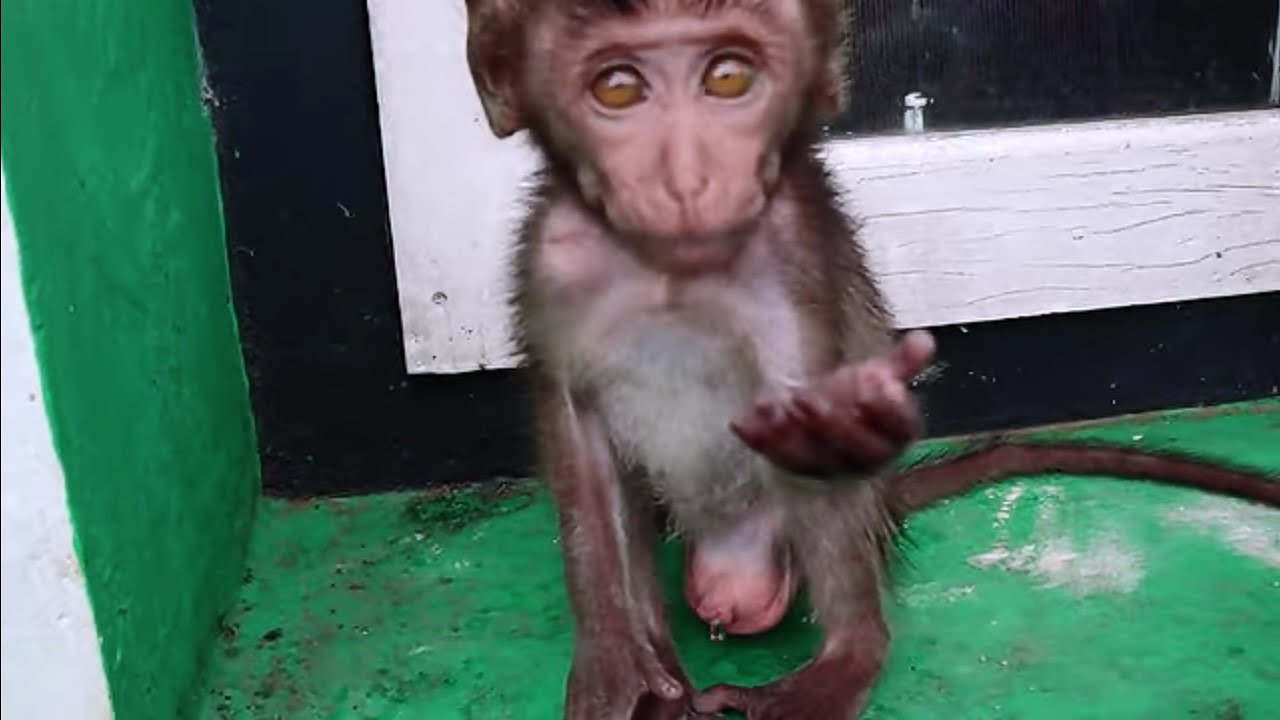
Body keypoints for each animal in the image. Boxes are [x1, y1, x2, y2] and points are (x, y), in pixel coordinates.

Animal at [460, 2, 1280, 718]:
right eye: (618, 88)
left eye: (728, 78)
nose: (687, 181)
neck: (671, 272)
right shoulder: (548, 265)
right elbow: (580, 441)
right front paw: (615, 659)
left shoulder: (793, 256)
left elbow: (816, 416)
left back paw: (850, 654)